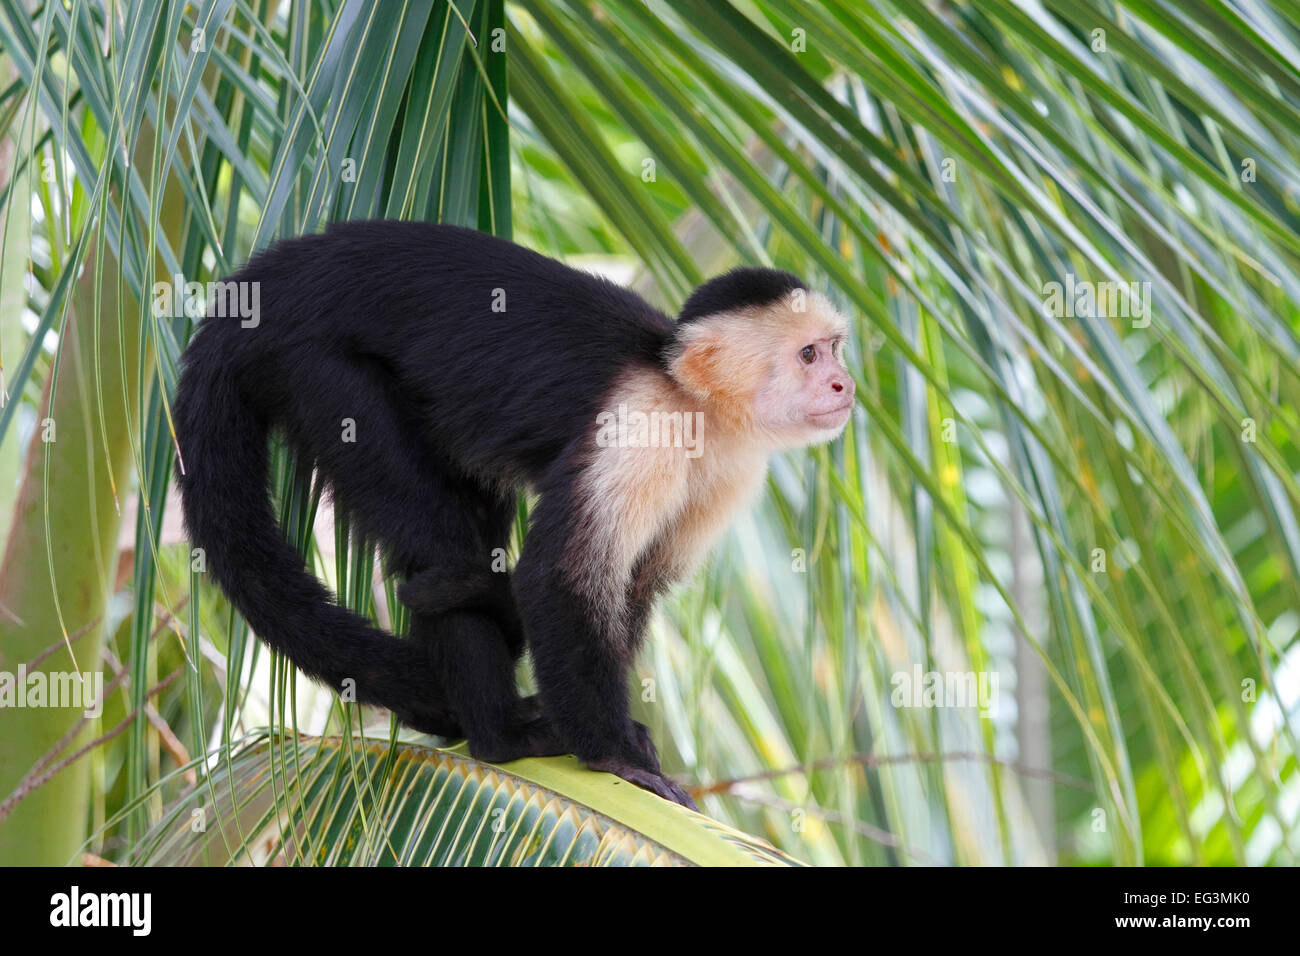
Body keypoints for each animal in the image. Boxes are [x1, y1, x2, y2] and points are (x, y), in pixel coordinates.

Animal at [172, 220, 854, 809]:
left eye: (835, 350)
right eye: (808, 355)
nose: (845, 384)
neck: (690, 397)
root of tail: (278, 279)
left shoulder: (733, 470)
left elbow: (636, 584)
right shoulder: (641, 426)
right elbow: (559, 579)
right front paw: (611, 754)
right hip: (318, 370)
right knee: (437, 546)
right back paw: (499, 735)